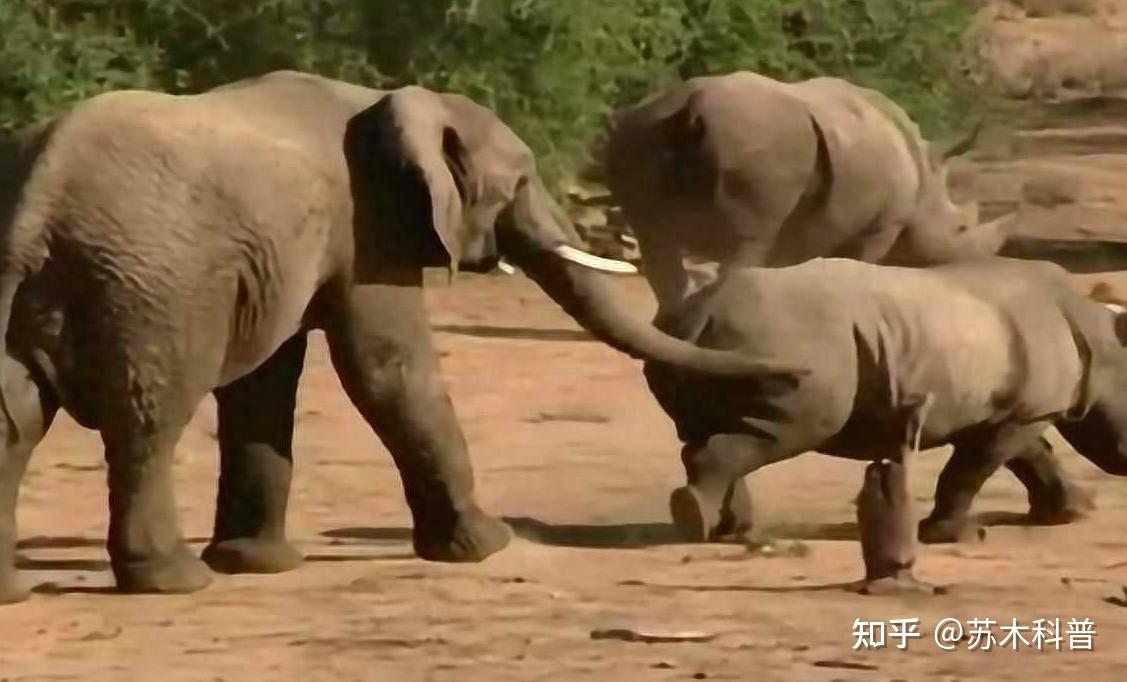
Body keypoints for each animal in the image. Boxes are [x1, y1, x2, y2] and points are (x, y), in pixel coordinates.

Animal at [0, 70, 804, 603]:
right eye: (518, 185)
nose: (788, 374)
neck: (395, 100)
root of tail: (39, 195)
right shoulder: (370, 225)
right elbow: (386, 369)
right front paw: (487, 547)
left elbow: (267, 386)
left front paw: (259, 566)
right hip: (149, 289)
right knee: (147, 423)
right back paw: (173, 581)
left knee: (15, 424)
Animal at [641, 257, 1116, 545]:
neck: (1096, 337)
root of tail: (701, 311)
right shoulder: (1024, 412)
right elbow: (970, 470)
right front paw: (951, 535)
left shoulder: (1013, 411)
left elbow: (1030, 457)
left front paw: (1072, 512)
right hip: (792, 341)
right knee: (788, 429)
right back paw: (699, 521)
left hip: (706, 342)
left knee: (712, 428)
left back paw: (726, 529)